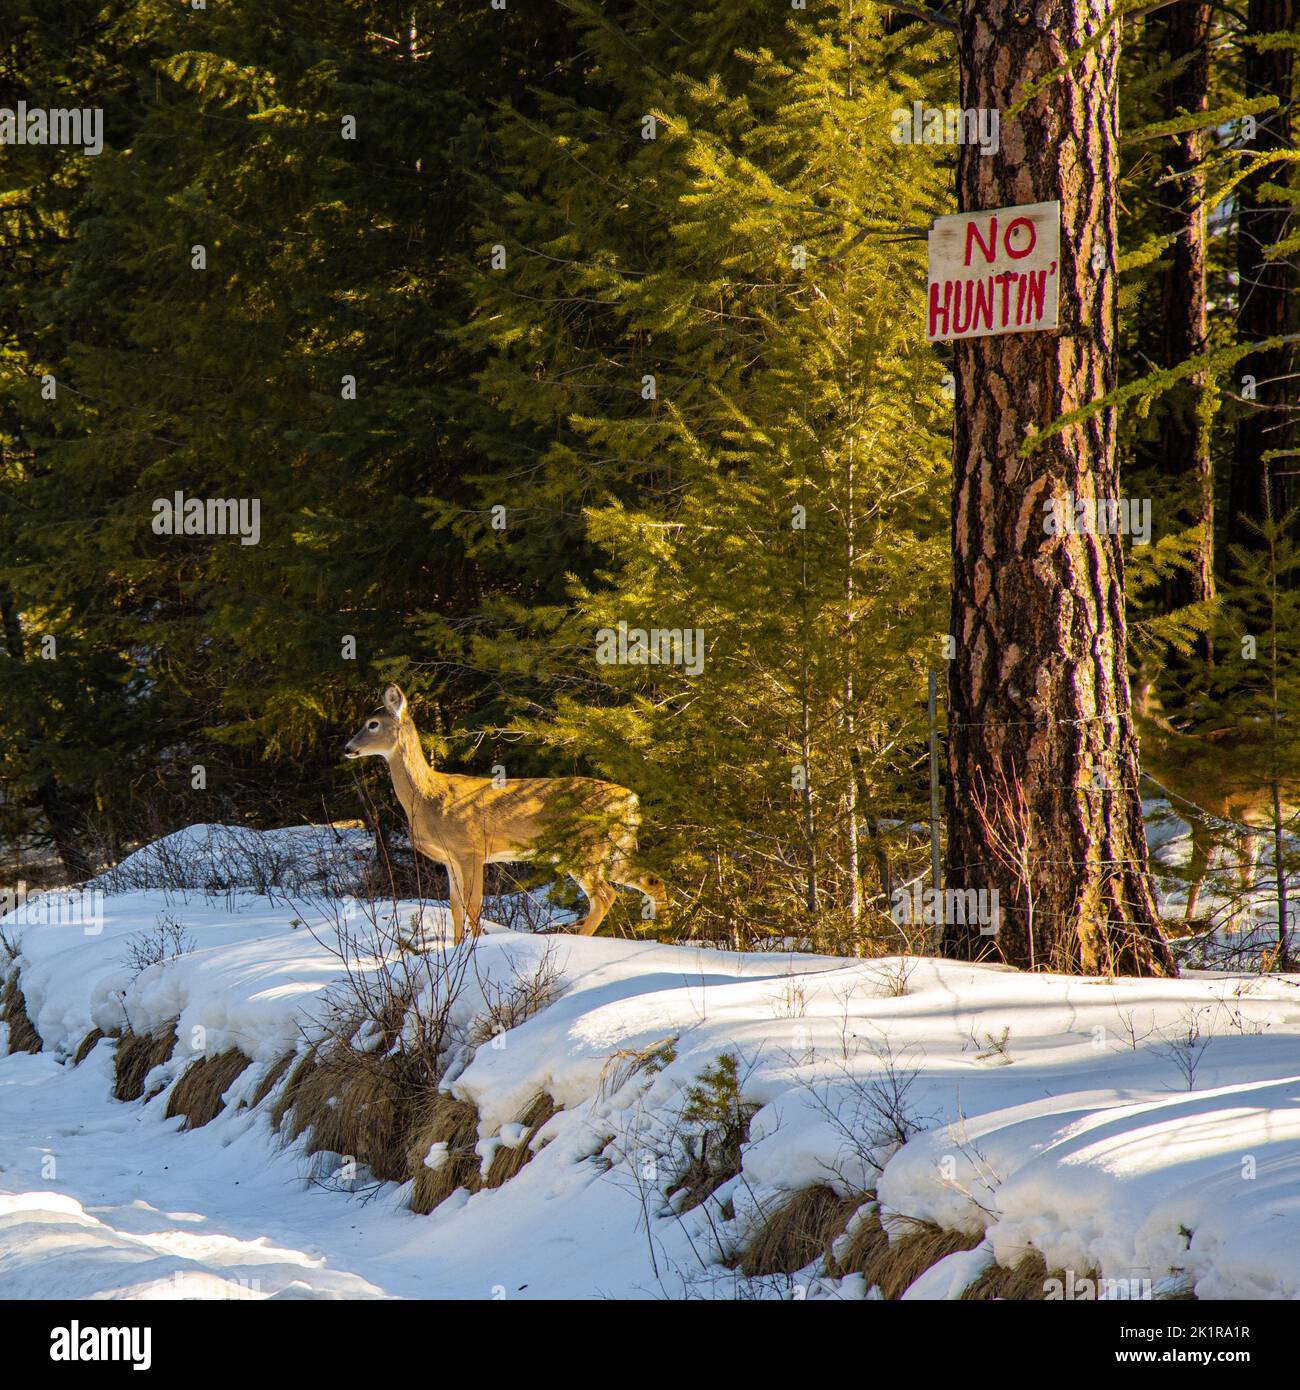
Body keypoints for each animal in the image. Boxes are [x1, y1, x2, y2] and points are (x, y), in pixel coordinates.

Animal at [344, 685, 666, 943]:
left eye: (372, 724)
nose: (348, 747)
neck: (428, 797)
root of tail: (631, 799)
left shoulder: (470, 849)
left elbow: (473, 905)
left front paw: (475, 947)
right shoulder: (448, 858)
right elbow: (455, 906)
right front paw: (456, 949)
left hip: (585, 848)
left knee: (604, 897)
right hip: (615, 849)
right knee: (651, 881)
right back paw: (663, 935)